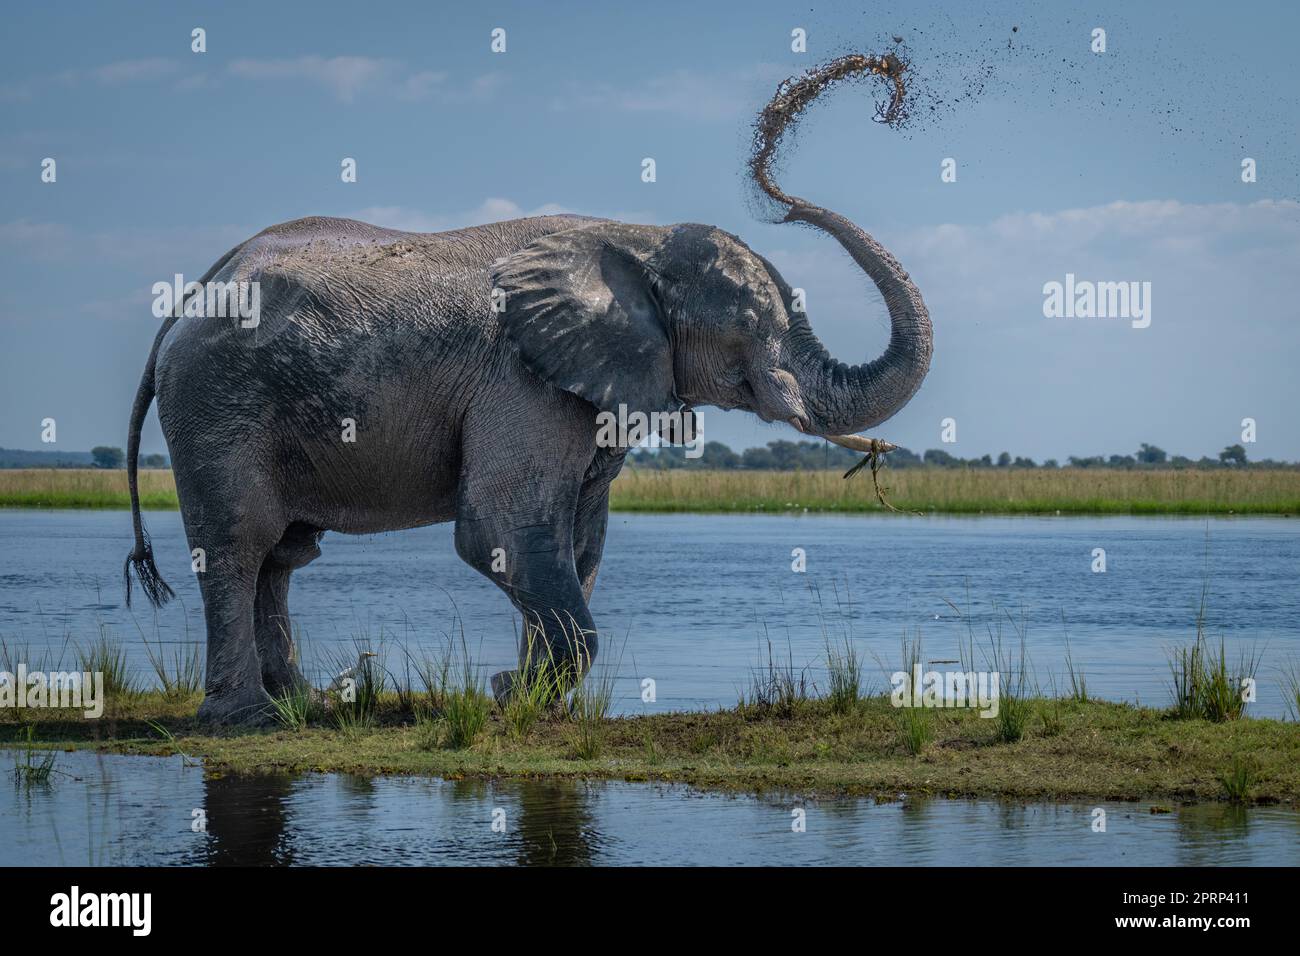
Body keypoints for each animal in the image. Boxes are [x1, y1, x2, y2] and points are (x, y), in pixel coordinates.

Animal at [123, 192, 931, 724]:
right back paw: (246, 720)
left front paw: (530, 701)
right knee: (241, 542)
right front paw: (509, 695)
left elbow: (577, 541)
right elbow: (500, 529)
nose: (784, 203)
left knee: (284, 555)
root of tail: (189, 298)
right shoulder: (519, 378)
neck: (637, 237)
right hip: (216, 404)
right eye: (754, 324)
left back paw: (302, 704)